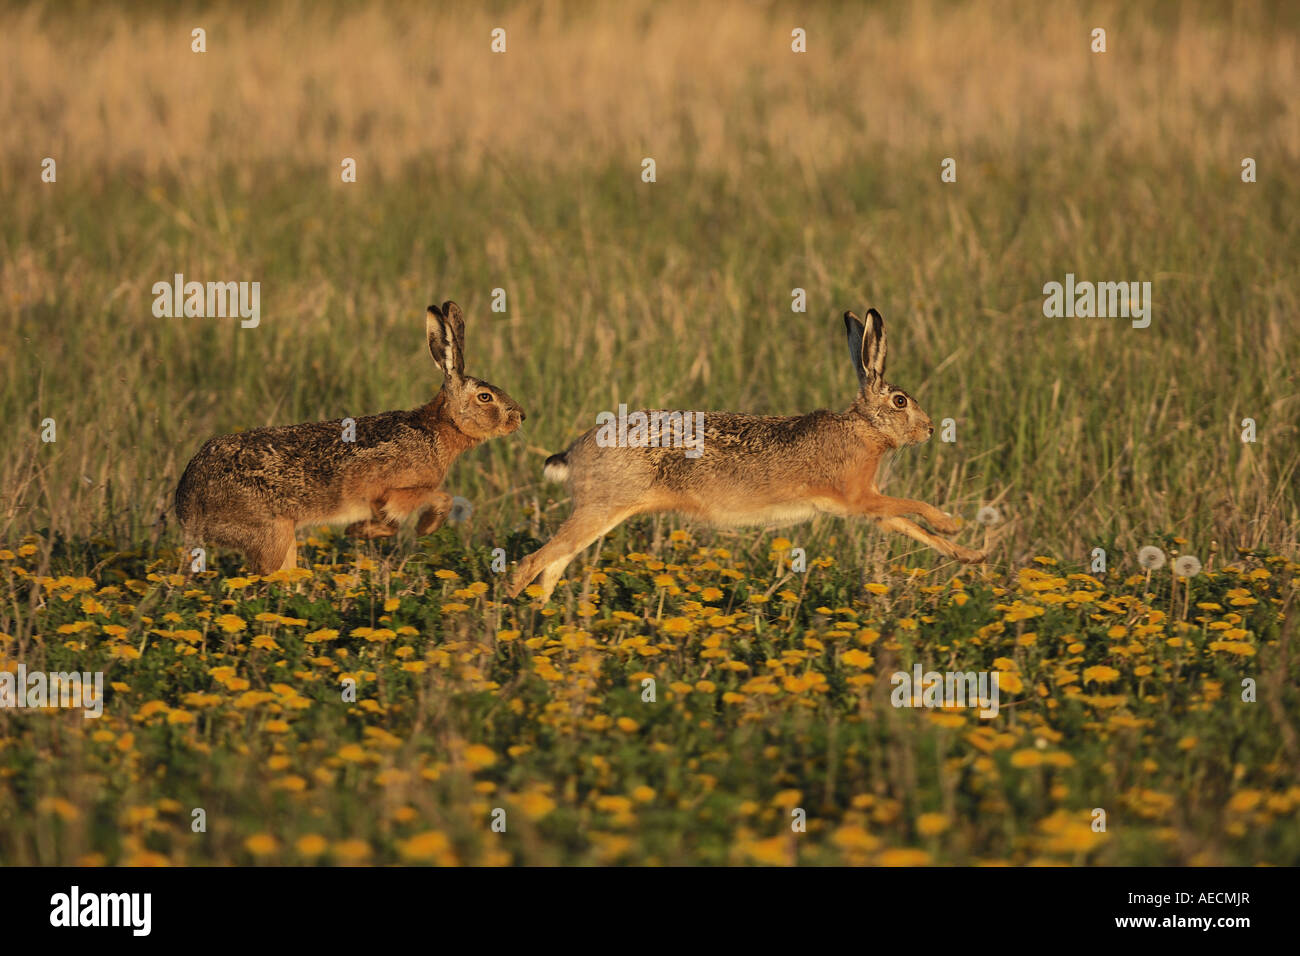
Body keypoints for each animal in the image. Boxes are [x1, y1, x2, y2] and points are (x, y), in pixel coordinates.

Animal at [175, 300, 524, 574]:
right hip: (270, 531)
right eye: (485, 397)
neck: (435, 429)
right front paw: (405, 529)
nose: (520, 416)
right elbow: (439, 500)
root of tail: (186, 503)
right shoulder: (397, 490)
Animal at [507, 308, 984, 603]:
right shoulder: (857, 497)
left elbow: (910, 526)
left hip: (600, 513)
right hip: (602, 507)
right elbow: (913, 508)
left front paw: (970, 555)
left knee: (553, 565)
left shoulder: (868, 507)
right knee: (532, 563)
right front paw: (953, 523)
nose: (928, 429)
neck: (863, 427)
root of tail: (576, 450)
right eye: (901, 402)